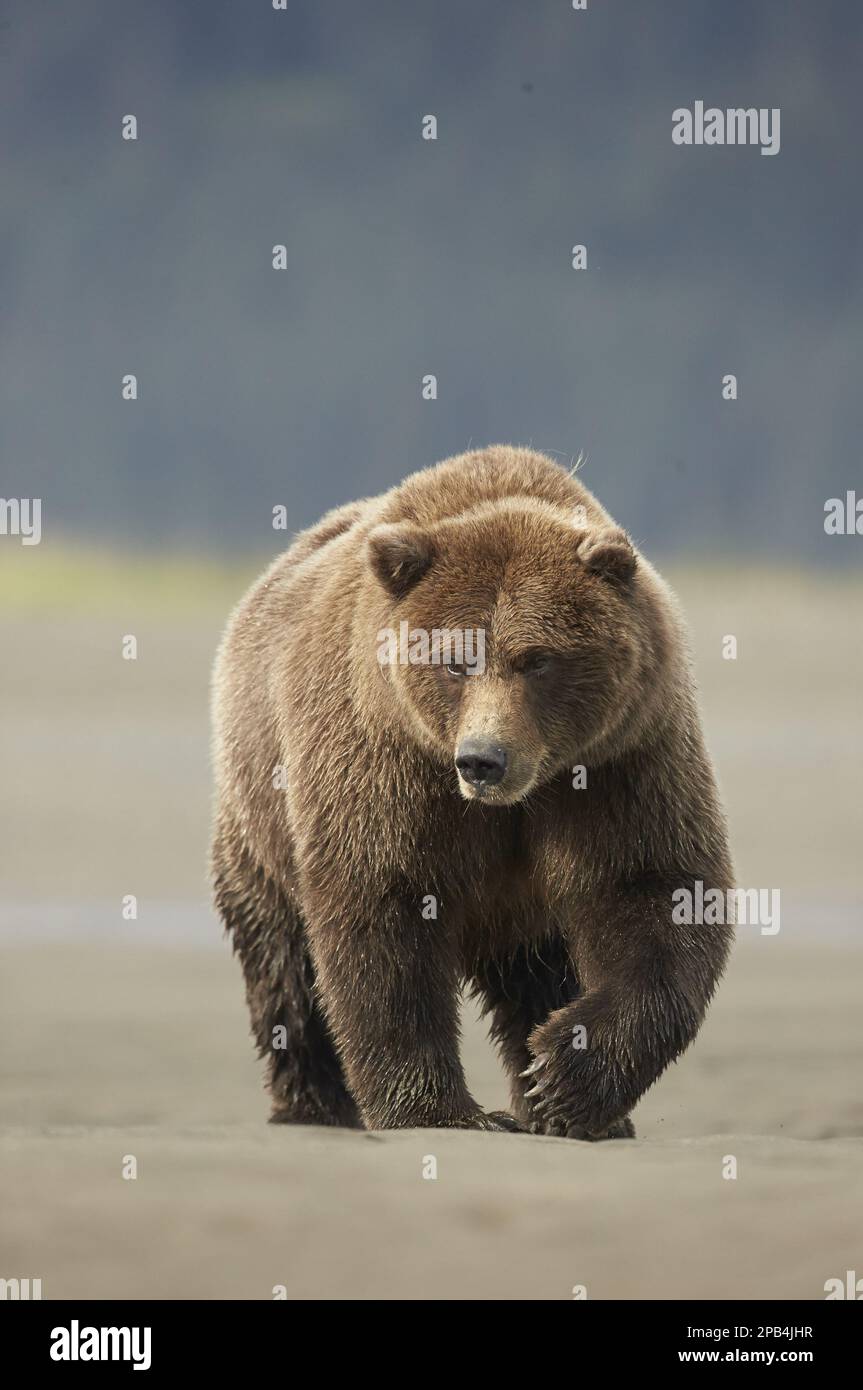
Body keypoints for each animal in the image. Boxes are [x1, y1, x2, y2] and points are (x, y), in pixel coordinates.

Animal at [211, 445, 734, 1138]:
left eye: (537, 659)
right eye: (456, 660)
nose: (483, 760)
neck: (522, 795)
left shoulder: (621, 759)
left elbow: (655, 889)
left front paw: (562, 1077)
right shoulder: (385, 762)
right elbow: (386, 909)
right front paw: (440, 1110)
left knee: (536, 967)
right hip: (257, 814)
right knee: (282, 958)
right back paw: (313, 1101)